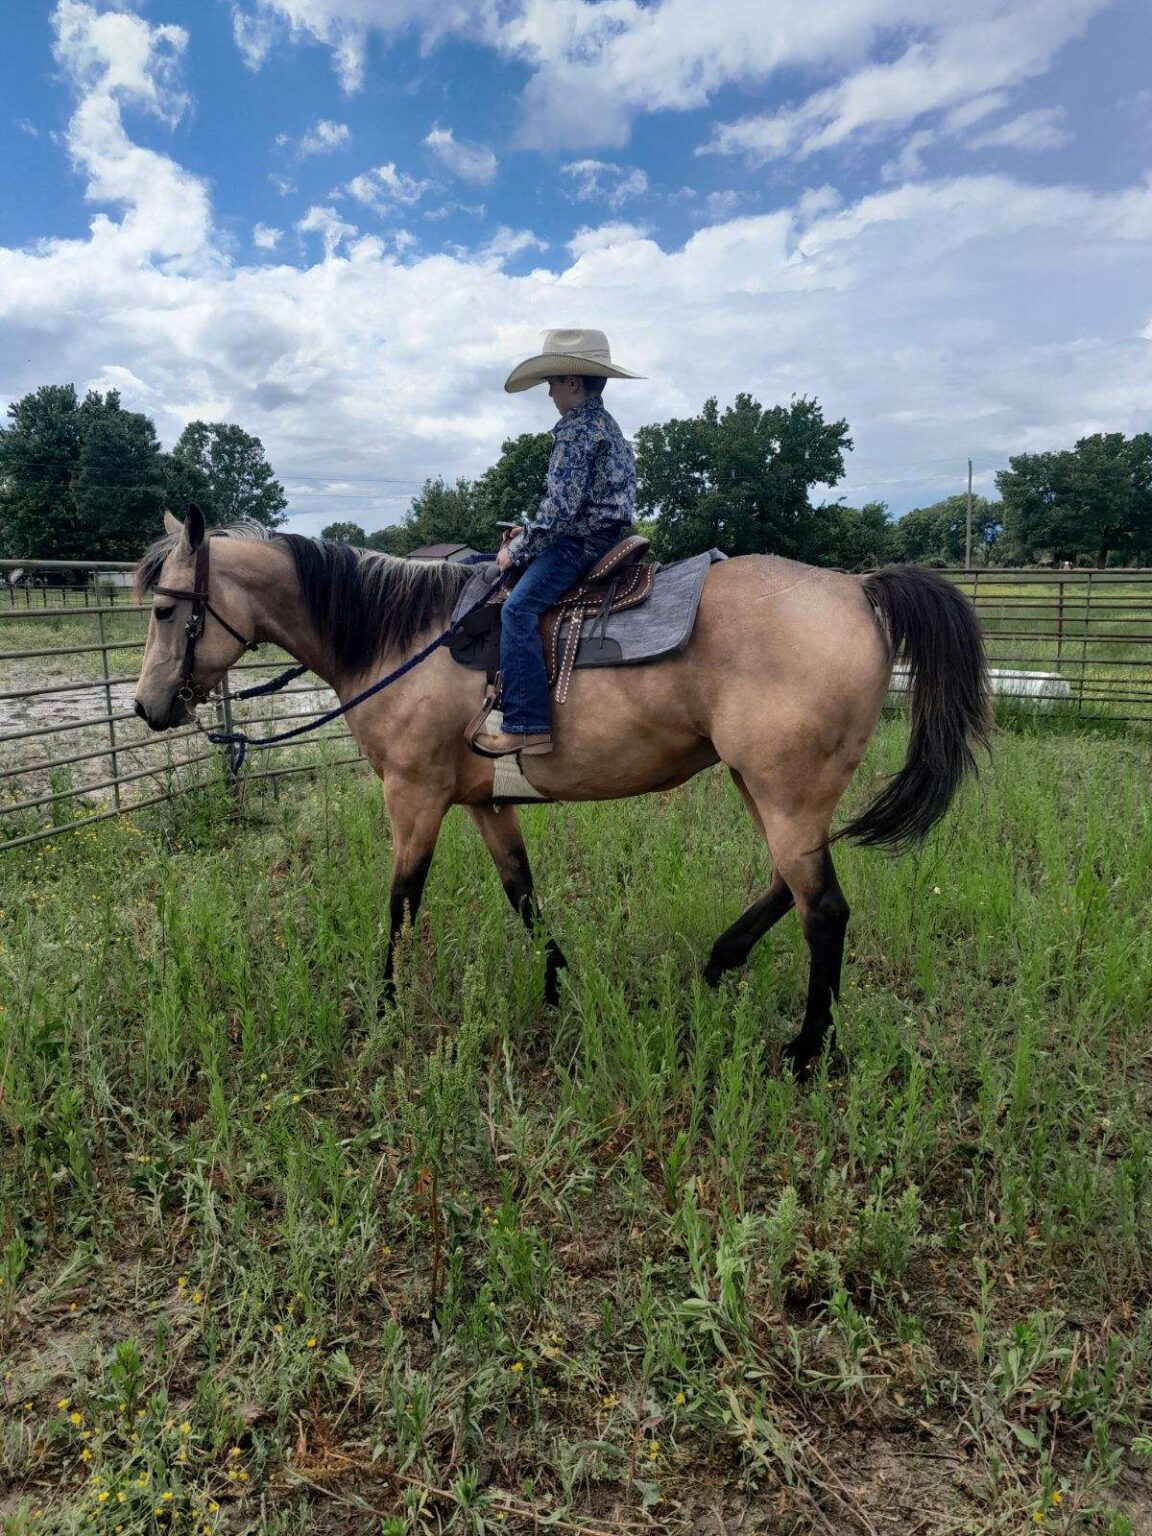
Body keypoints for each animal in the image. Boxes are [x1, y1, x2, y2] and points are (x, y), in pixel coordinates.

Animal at [133, 507, 990, 1076]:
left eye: (166, 608)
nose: (147, 707)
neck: (403, 639)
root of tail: (859, 590)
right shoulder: (485, 803)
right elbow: (524, 895)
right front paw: (560, 985)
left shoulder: (413, 796)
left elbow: (402, 901)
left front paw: (381, 1008)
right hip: (766, 787)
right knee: (790, 886)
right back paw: (718, 965)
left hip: (784, 791)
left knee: (826, 912)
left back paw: (807, 1049)